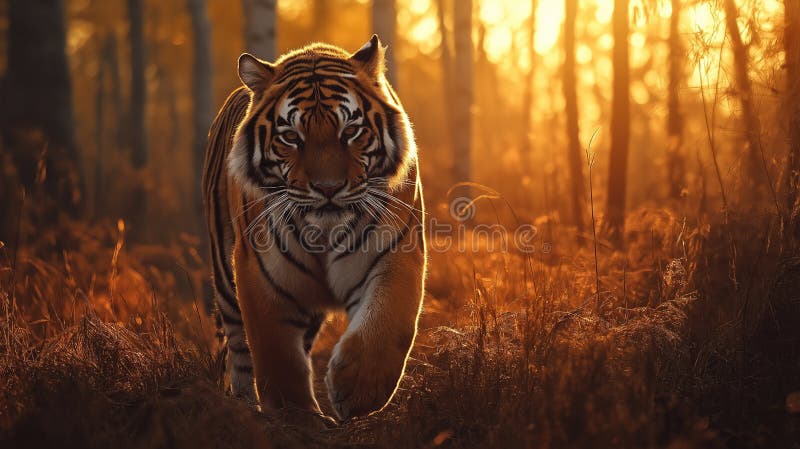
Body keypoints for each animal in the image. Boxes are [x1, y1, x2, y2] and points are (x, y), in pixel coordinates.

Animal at [202, 35, 426, 422]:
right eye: (292, 137)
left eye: (350, 131)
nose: (328, 188)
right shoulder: (260, 272)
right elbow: (276, 355)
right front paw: (297, 416)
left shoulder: (395, 251)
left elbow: (387, 321)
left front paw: (358, 391)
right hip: (227, 282)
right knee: (238, 350)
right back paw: (242, 404)